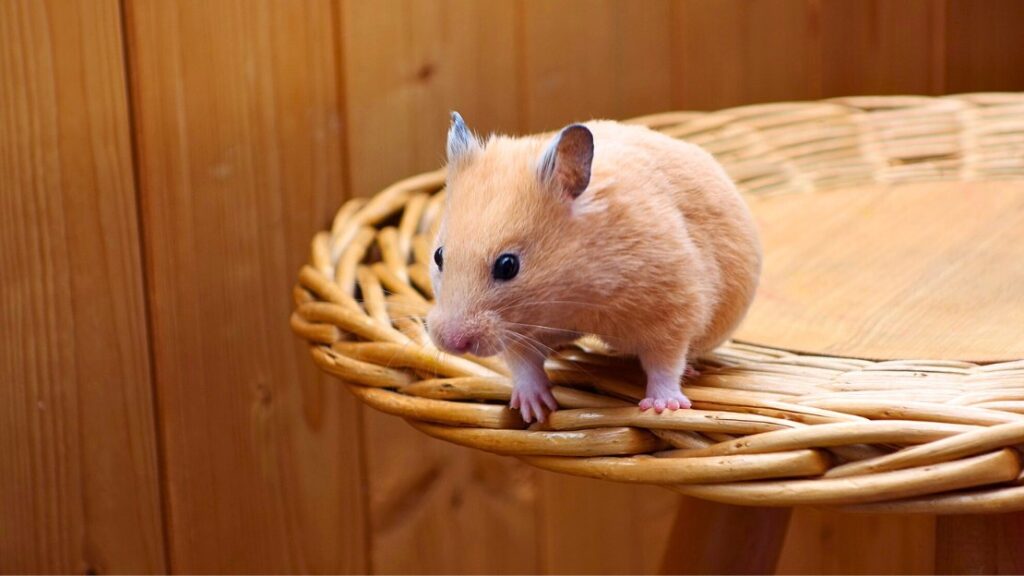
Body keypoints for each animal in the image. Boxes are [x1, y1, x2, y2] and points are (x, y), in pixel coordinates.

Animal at [426, 112, 762, 423]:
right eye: (439, 255)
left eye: (508, 265)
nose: (452, 343)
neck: (572, 295)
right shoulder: (517, 331)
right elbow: (524, 363)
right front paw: (535, 410)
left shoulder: (674, 308)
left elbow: (665, 361)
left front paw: (662, 407)